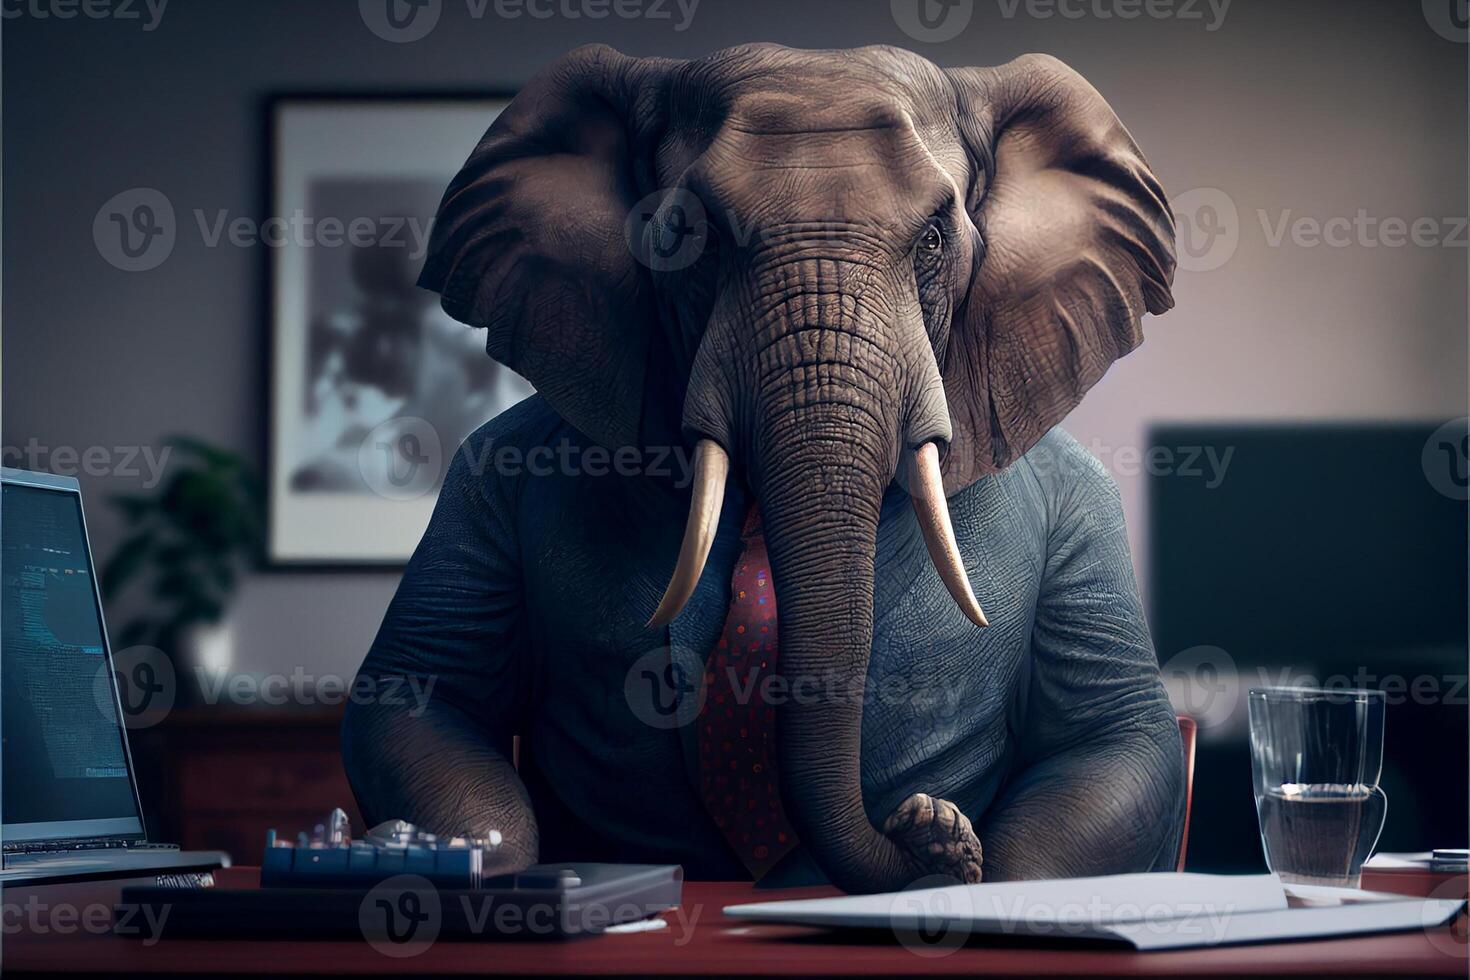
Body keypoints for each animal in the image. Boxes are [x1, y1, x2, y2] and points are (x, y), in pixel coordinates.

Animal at [342, 42, 1184, 894]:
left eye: (933, 241)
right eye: (694, 237)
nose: (921, 821)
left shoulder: (1089, 515)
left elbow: (1115, 731)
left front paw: (957, 852)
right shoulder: (480, 480)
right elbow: (419, 690)